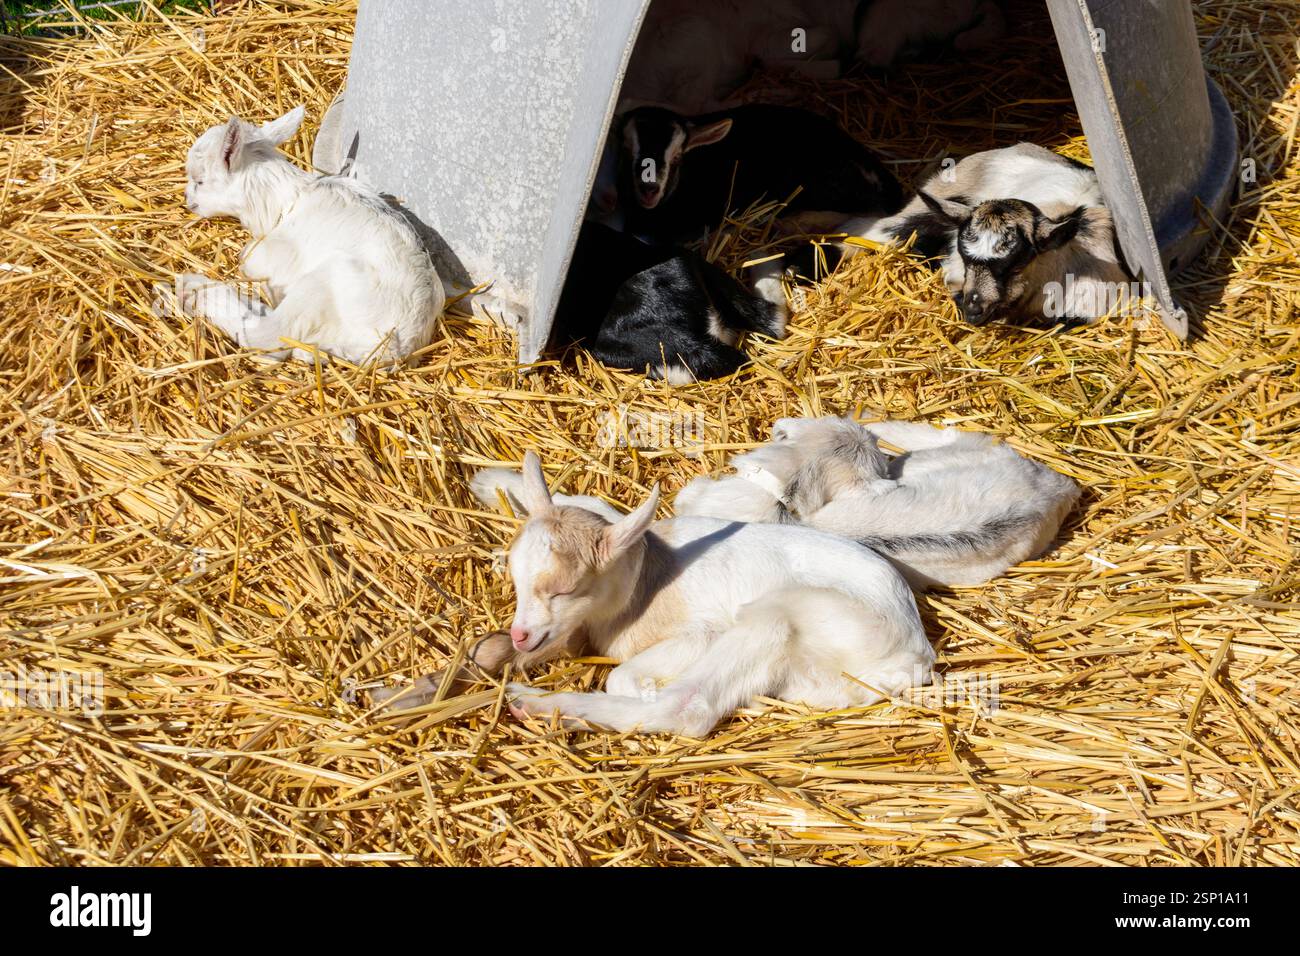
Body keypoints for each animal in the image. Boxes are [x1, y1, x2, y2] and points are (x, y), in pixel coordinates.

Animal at [180, 106, 444, 364]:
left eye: (200, 181)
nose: (187, 199)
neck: (282, 200)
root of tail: (398, 347)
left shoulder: (272, 257)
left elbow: (248, 259)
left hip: (323, 284)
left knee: (268, 340)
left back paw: (195, 289)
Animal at [468, 453, 932, 736]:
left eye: (568, 588)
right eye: (515, 576)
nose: (520, 635)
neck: (645, 578)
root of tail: (913, 655)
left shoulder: (697, 636)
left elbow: (623, 676)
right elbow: (598, 504)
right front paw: (492, 482)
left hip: (781, 616)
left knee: (687, 709)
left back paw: (533, 703)